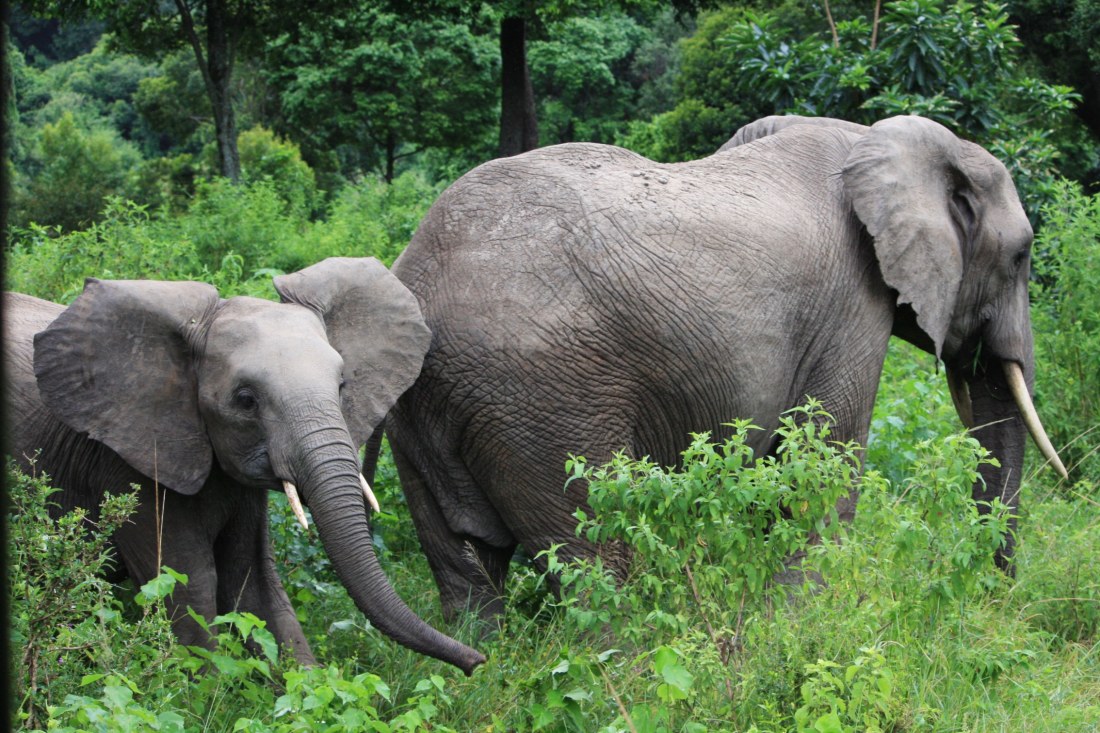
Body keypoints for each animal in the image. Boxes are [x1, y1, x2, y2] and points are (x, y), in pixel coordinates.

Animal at [3, 257, 485, 675]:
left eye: (342, 385)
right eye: (246, 400)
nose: (477, 662)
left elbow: (254, 586)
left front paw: (309, 691)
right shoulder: (125, 464)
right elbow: (188, 583)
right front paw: (204, 696)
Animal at [381, 114, 1068, 621]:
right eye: (1023, 254)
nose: (995, 598)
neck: (875, 138)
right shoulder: (850, 305)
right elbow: (821, 464)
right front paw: (800, 629)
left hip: (426, 411)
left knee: (465, 567)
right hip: (544, 398)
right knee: (596, 560)